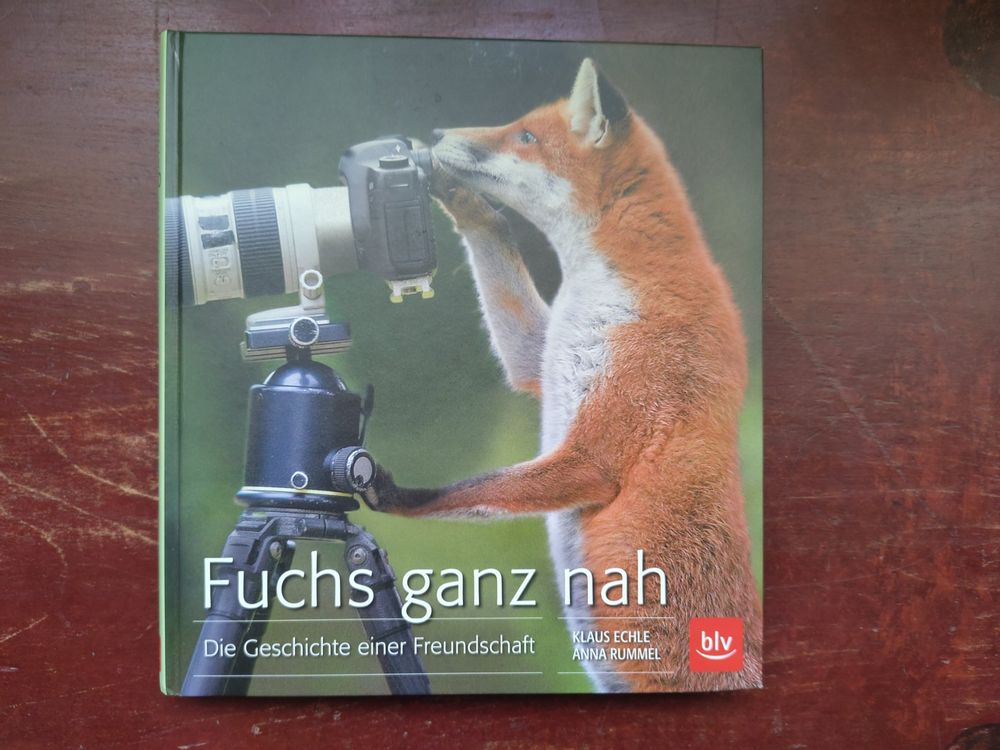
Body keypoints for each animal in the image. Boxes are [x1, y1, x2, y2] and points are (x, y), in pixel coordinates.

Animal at [363, 58, 762, 692]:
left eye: (525, 136)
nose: (436, 135)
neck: (601, 286)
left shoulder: (597, 449)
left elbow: (468, 490)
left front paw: (393, 493)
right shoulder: (541, 357)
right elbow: (498, 246)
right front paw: (458, 198)